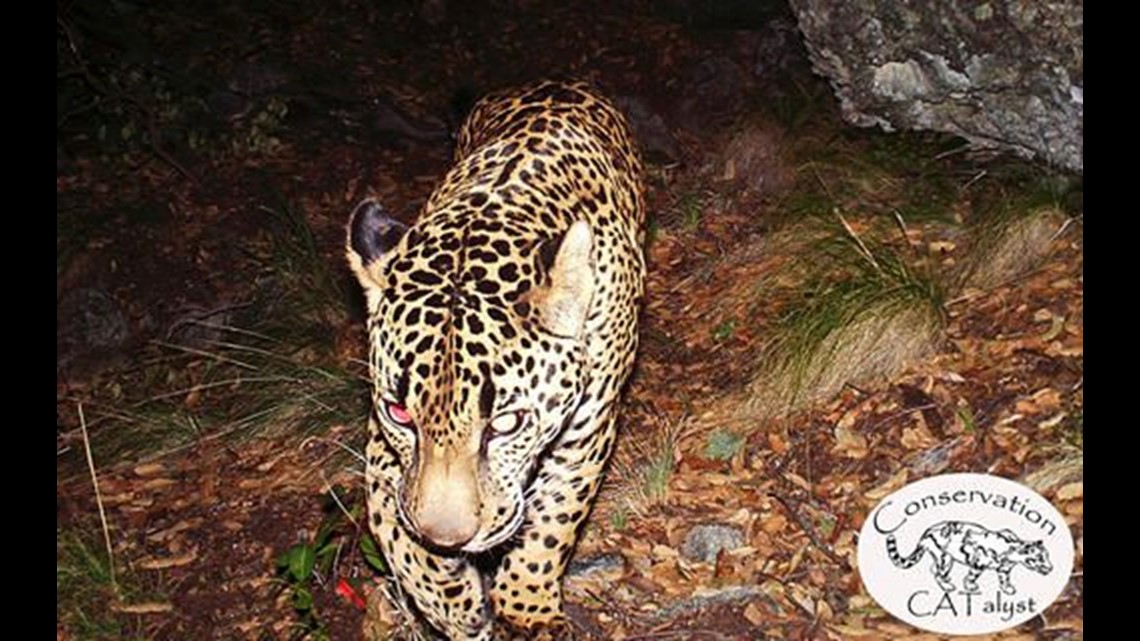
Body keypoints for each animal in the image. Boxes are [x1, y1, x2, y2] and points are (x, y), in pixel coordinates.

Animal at [346, 80, 645, 639]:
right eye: (401, 415)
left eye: (506, 424)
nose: (449, 539)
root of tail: (549, 81)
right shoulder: (380, 441)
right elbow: (391, 522)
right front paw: (451, 601)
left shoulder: (588, 429)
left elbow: (552, 521)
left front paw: (527, 610)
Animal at [887, 521, 1054, 595]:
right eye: (1039, 557)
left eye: (1047, 555)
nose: (1051, 567)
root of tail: (926, 533)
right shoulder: (977, 564)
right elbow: (972, 576)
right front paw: (971, 586)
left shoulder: (1004, 569)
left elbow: (1004, 579)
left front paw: (1007, 588)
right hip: (943, 557)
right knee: (937, 572)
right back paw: (948, 586)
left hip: (946, 559)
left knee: (934, 569)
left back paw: (947, 580)